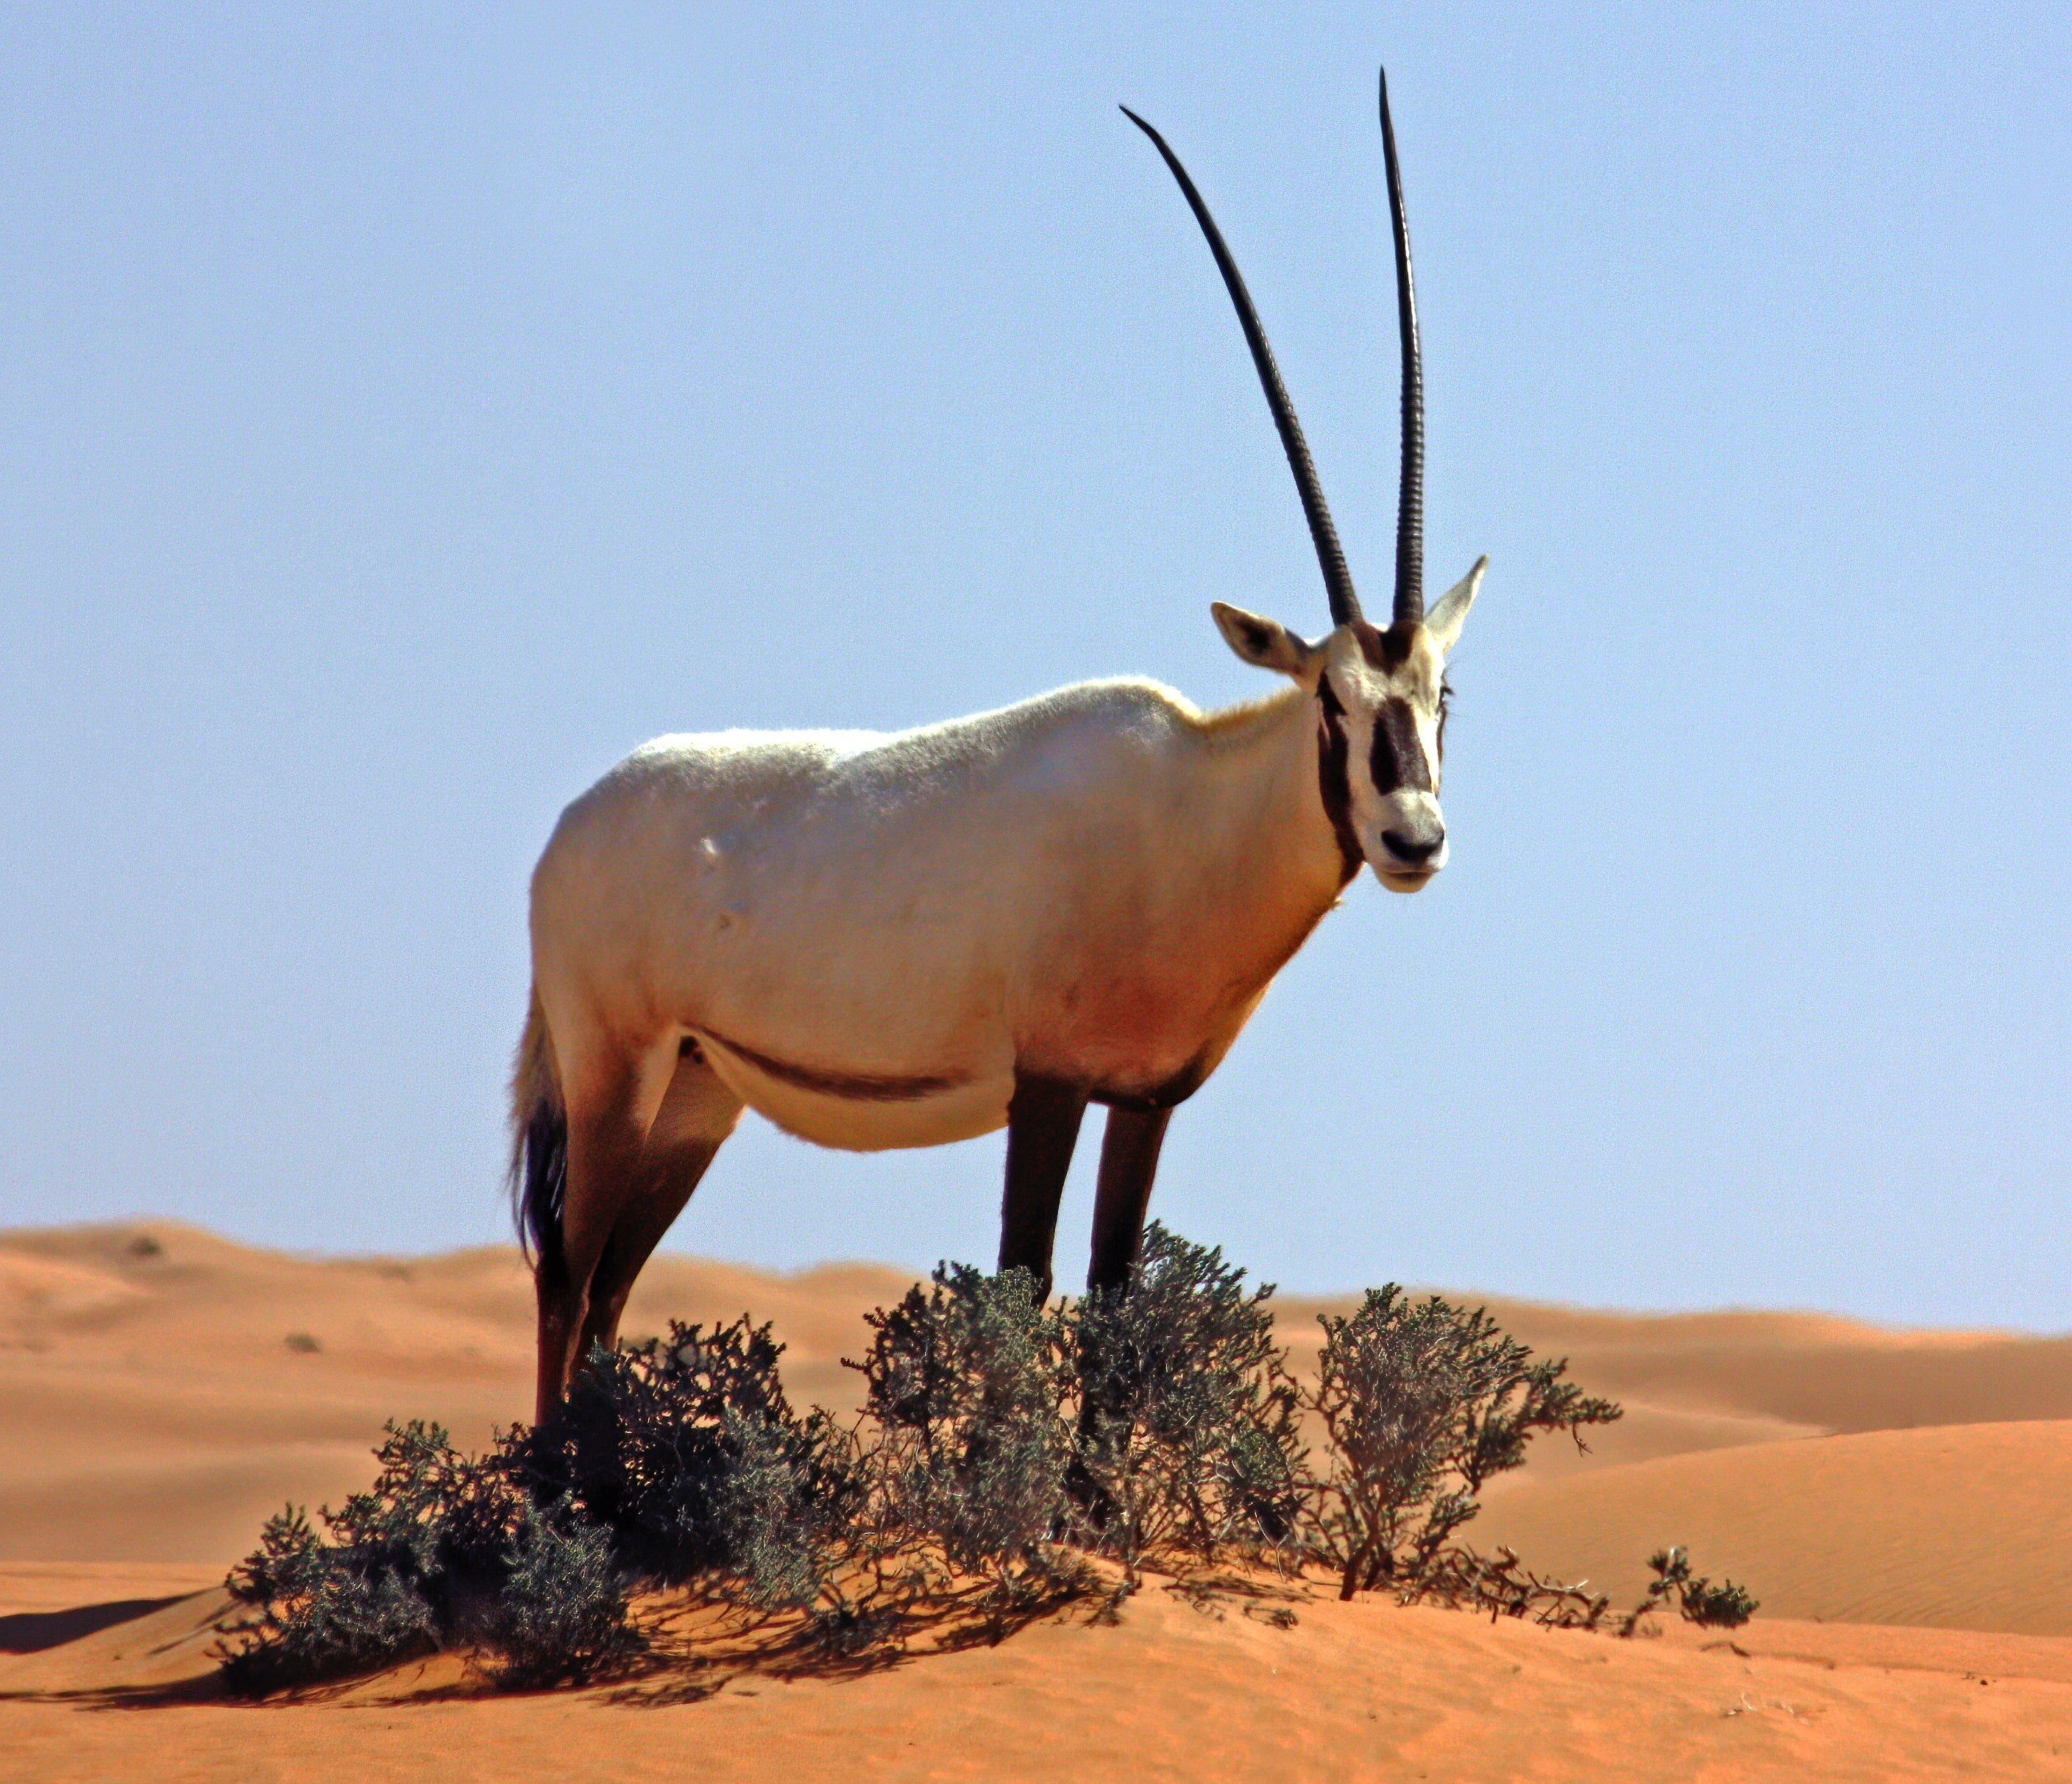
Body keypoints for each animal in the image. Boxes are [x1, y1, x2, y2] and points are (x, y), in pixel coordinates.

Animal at [513, 70, 1485, 1420]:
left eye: (1446, 694)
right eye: (1333, 700)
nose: (1413, 839)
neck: (1189, 815)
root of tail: (567, 826)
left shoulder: (1145, 1099)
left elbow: (1120, 1305)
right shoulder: (1048, 1083)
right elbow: (1025, 1294)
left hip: (697, 1096)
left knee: (608, 1287)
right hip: (617, 1072)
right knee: (567, 1275)